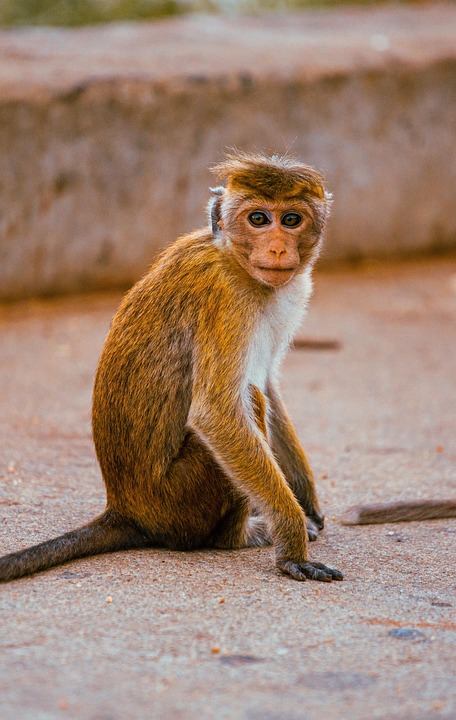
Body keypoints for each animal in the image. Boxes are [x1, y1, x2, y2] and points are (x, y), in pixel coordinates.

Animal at [0, 151, 343, 584]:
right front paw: (292, 539)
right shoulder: (227, 299)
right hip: (180, 500)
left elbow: (266, 380)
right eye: (259, 219)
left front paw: (307, 503)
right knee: (248, 402)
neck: (234, 259)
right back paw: (241, 535)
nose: (280, 249)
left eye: (292, 219)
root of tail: (126, 509)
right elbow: (217, 413)